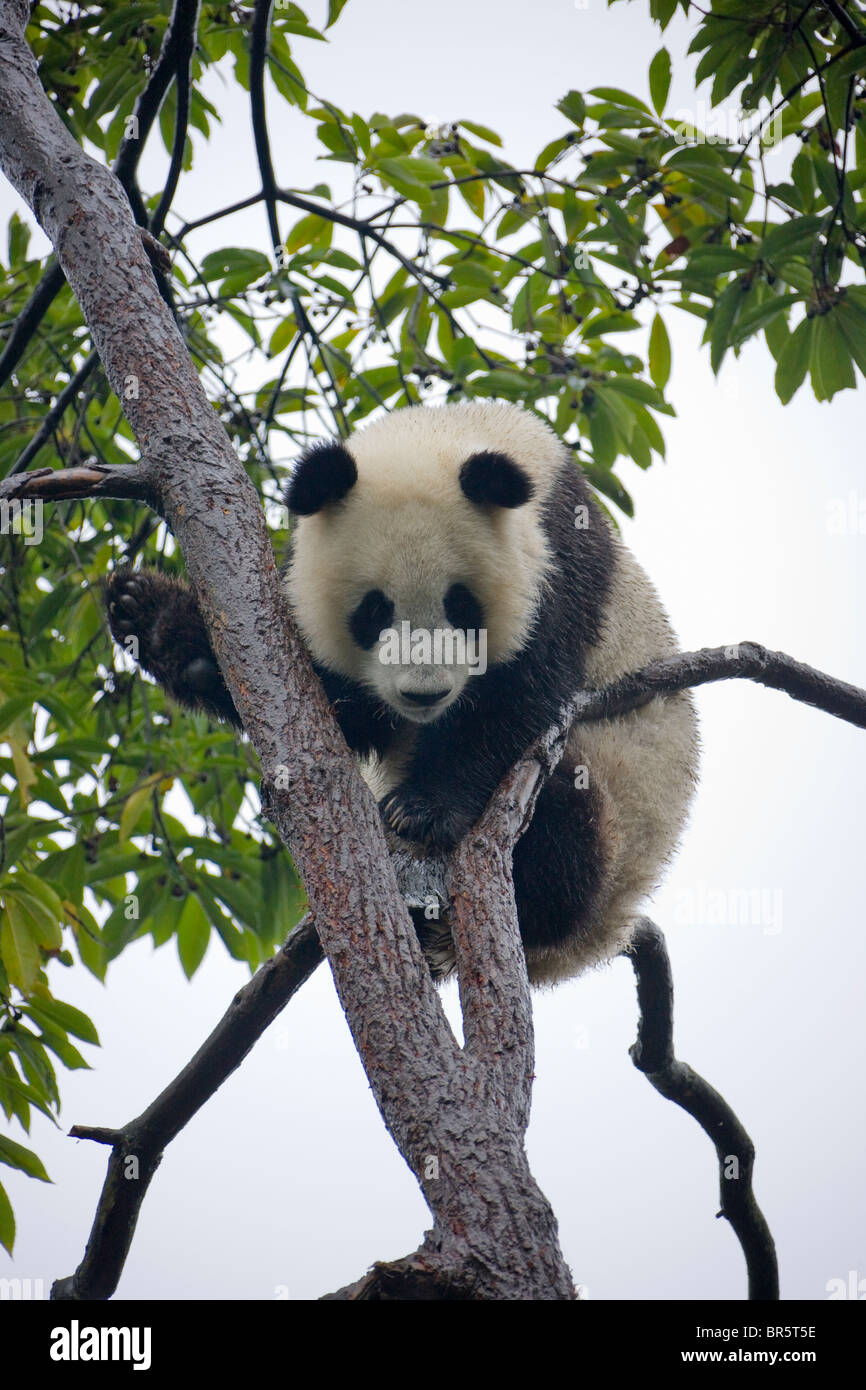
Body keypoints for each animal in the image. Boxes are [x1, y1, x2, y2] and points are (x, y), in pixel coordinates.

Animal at [105, 401, 698, 986]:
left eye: (461, 605)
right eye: (374, 610)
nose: (424, 693)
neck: (444, 432)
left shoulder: (561, 558)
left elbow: (519, 692)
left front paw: (422, 809)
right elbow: (344, 713)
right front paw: (154, 620)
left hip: (625, 820)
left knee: (570, 833)